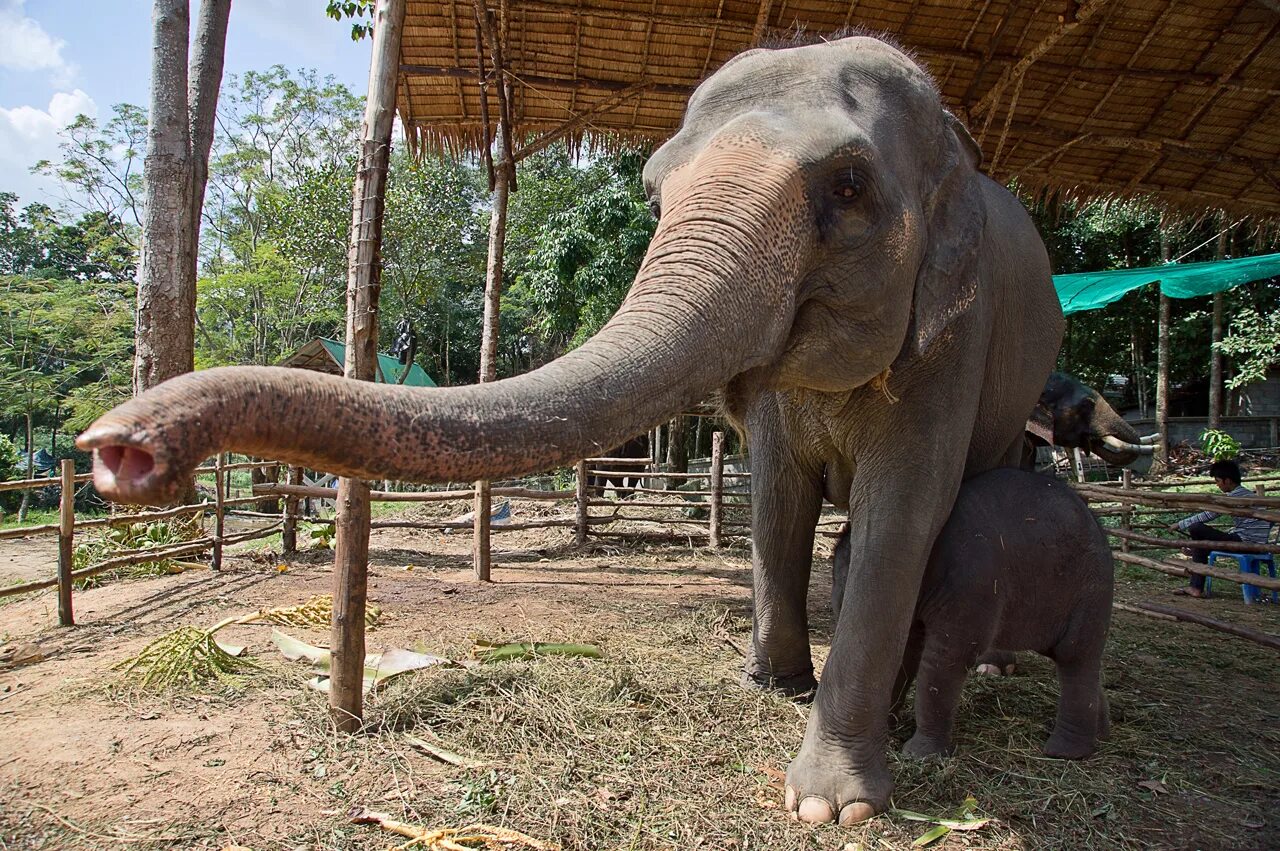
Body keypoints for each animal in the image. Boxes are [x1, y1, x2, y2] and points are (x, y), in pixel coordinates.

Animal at [77, 34, 1059, 824]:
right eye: (656, 195)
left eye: (850, 187)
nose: (118, 453)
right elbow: (779, 499)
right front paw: (773, 686)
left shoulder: (957, 336)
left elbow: (906, 513)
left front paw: (831, 806)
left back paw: (984, 679)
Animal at [829, 468, 1111, 757]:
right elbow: (905, 651)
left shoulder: (971, 585)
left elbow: (947, 656)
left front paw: (919, 753)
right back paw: (1101, 734)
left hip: (1090, 589)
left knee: (1074, 656)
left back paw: (1063, 751)